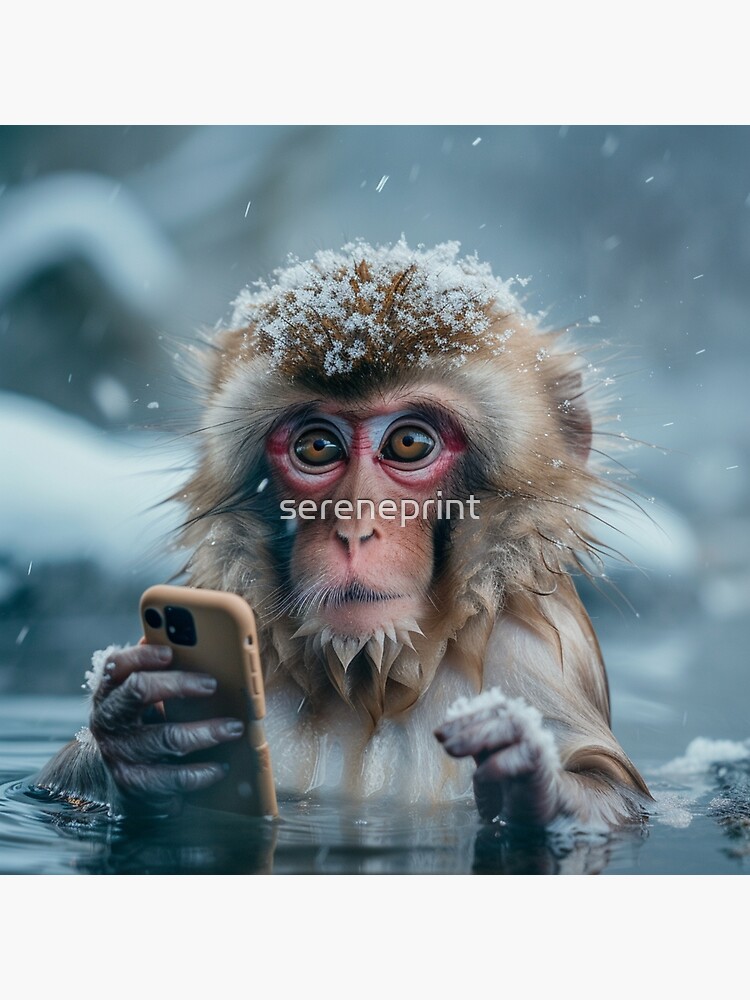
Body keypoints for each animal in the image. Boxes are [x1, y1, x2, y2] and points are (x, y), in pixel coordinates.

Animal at [33, 238, 652, 831]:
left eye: (409, 442)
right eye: (317, 446)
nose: (354, 529)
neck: (371, 678)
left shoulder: (533, 658)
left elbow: (614, 793)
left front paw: (527, 770)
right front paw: (133, 737)